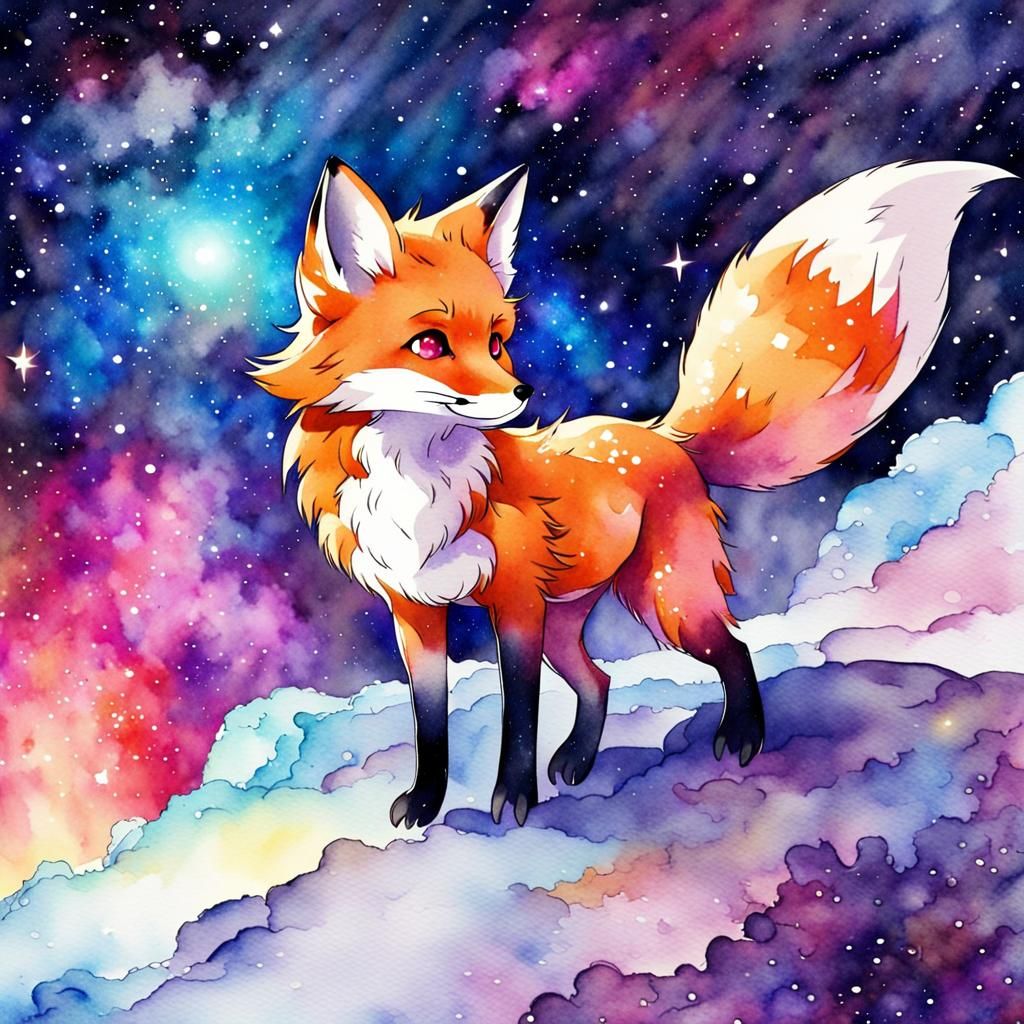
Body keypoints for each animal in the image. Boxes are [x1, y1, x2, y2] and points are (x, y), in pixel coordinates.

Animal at [250, 156, 1012, 828]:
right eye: (430, 344)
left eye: (496, 342)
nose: (522, 393)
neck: (418, 481)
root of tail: (662, 434)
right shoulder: (417, 613)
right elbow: (430, 724)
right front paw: (425, 804)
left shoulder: (515, 605)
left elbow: (518, 716)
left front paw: (513, 801)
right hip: (572, 619)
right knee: (600, 680)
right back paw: (580, 761)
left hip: (667, 598)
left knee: (733, 649)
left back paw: (742, 740)